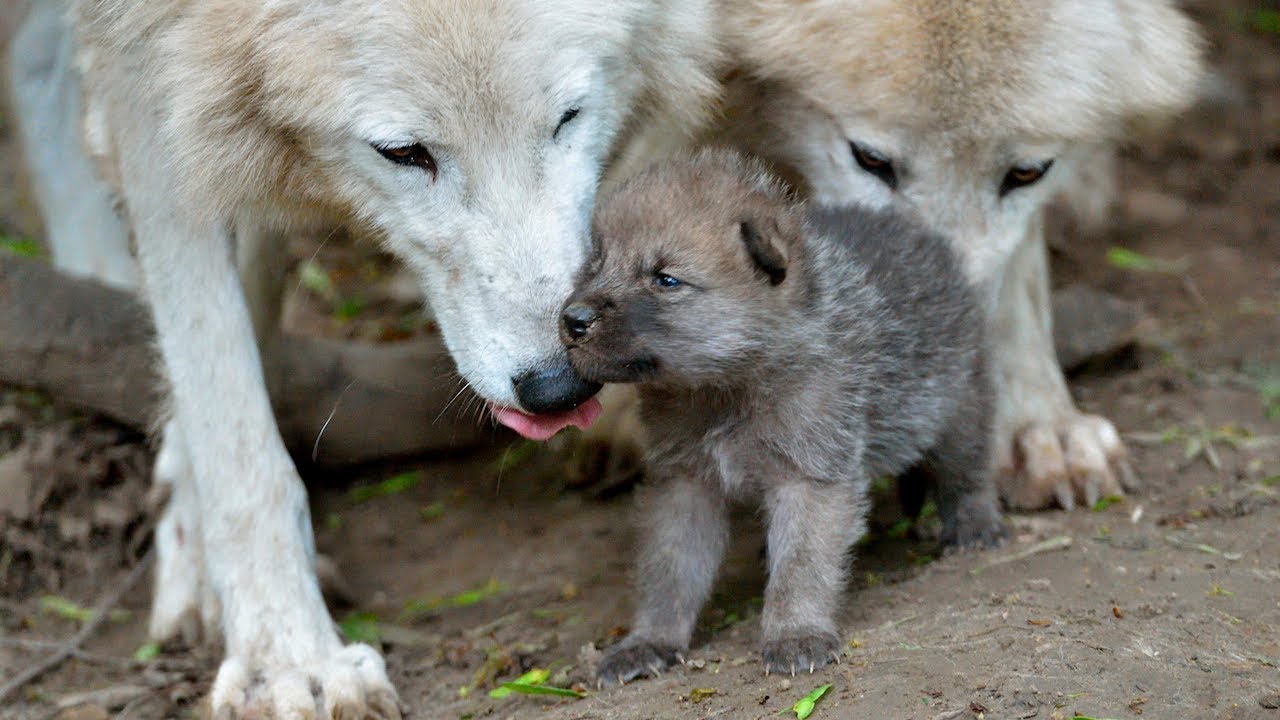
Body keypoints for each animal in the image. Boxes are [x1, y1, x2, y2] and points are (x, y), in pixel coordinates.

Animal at [7, 0, 720, 715]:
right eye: (403, 152)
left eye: (568, 116)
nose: (559, 386)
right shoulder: (149, 61)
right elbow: (229, 419)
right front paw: (288, 659)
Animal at [562, 149, 1004, 684]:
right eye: (596, 264)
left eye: (666, 279)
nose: (572, 320)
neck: (727, 389)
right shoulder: (684, 486)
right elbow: (669, 569)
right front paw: (649, 640)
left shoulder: (810, 479)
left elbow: (802, 565)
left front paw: (795, 632)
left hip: (958, 405)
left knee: (966, 470)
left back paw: (974, 525)